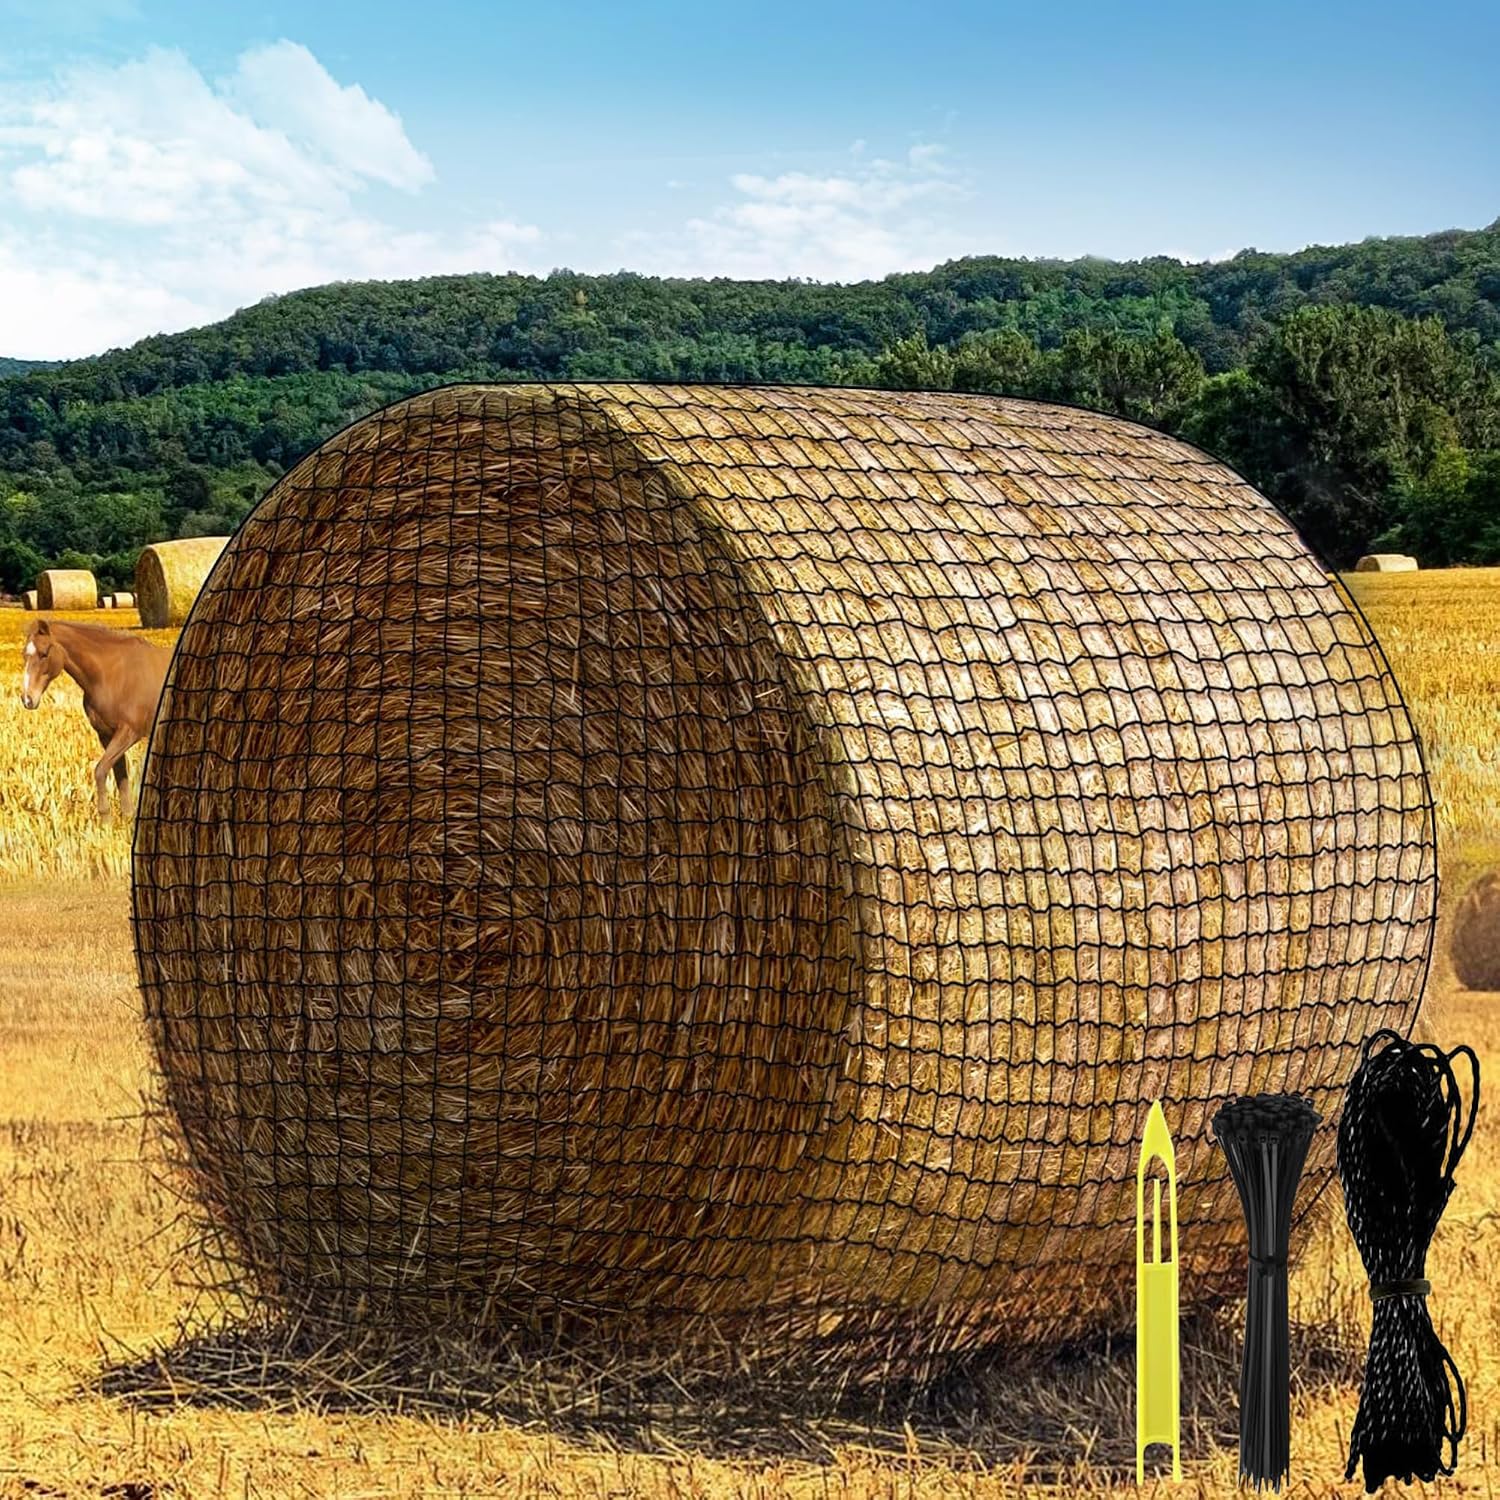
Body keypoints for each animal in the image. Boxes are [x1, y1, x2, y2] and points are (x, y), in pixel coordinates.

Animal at [19, 618, 172, 819]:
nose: (27, 699)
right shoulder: (106, 734)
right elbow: (119, 772)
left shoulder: (129, 732)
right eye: (24, 655)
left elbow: (100, 770)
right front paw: (126, 816)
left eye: (44, 654)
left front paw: (105, 817)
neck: (111, 675)